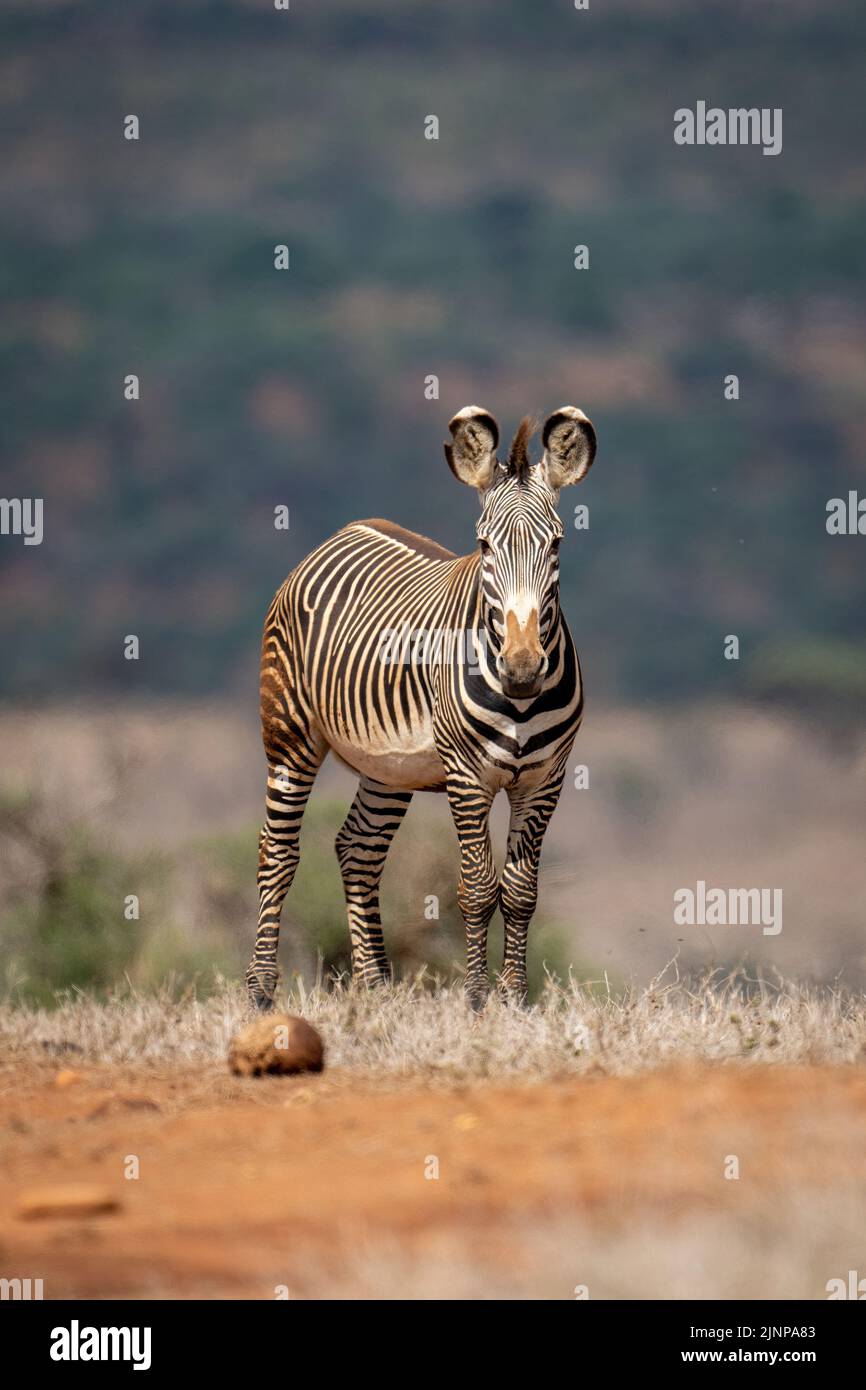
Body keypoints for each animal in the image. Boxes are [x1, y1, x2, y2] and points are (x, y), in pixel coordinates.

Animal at [246, 404, 597, 1011]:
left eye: (556, 546)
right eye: (484, 546)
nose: (523, 667)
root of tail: (348, 529)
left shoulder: (544, 780)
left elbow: (521, 891)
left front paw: (515, 1001)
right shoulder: (467, 776)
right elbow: (477, 888)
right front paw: (477, 1000)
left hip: (390, 767)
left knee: (358, 849)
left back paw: (377, 988)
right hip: (289, 734)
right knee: (278, 851)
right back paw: (262, 989)